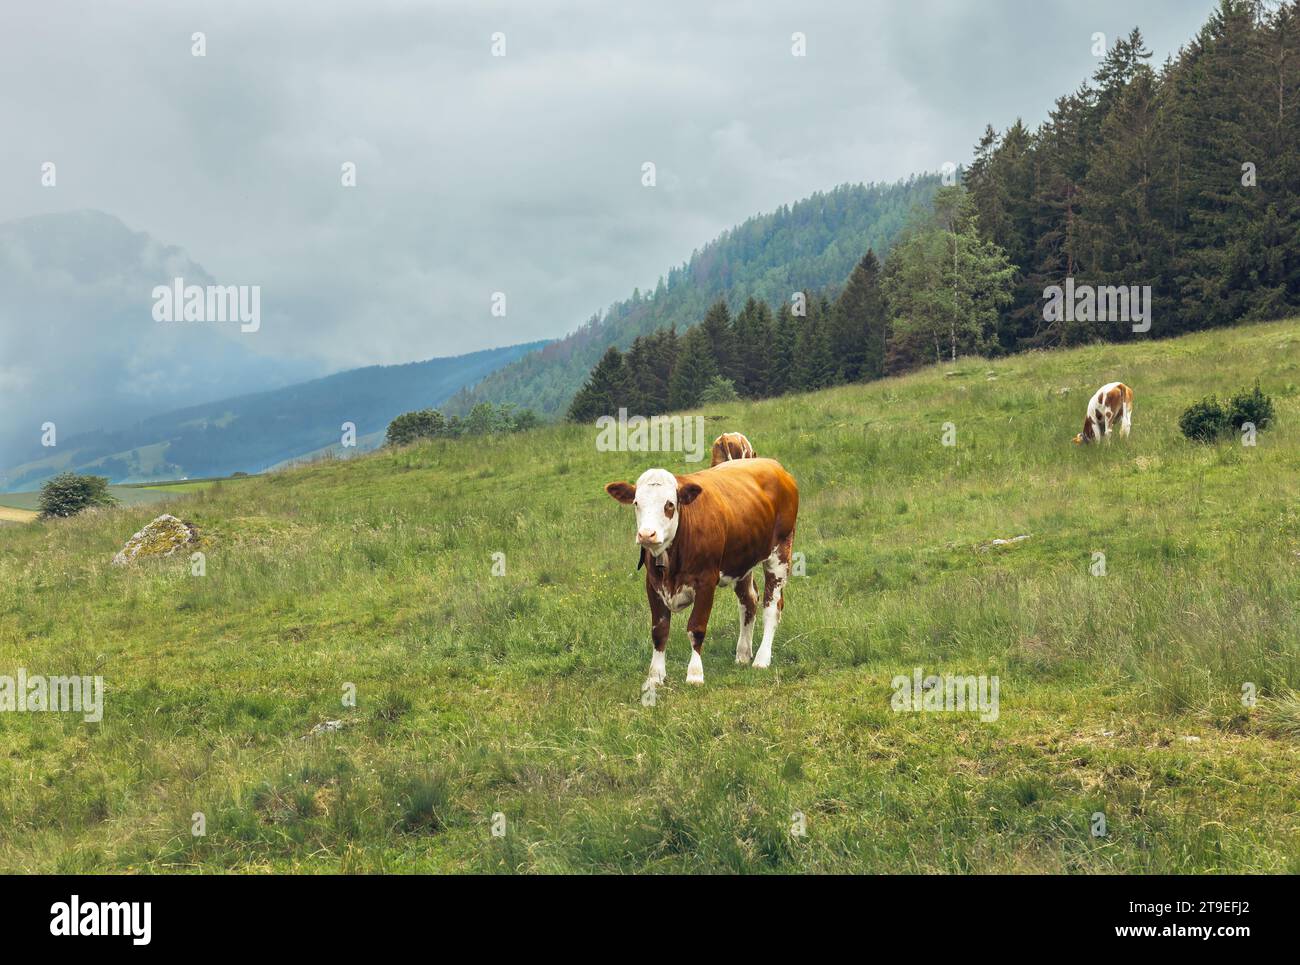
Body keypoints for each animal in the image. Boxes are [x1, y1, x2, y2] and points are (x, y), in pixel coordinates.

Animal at [605, 457, 798, 686]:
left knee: (772, 606)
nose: (646, 534)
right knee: (749, 601)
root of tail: (775, 465)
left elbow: (696, 628)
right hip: (742, 560)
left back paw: (762, 658)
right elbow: (659, 631)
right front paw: (655, 676)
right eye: (636, 503)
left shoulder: (706, 582)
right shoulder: (652, 584)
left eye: (669, 504)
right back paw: (743, 653)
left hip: (780, 553)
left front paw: (695, 674)